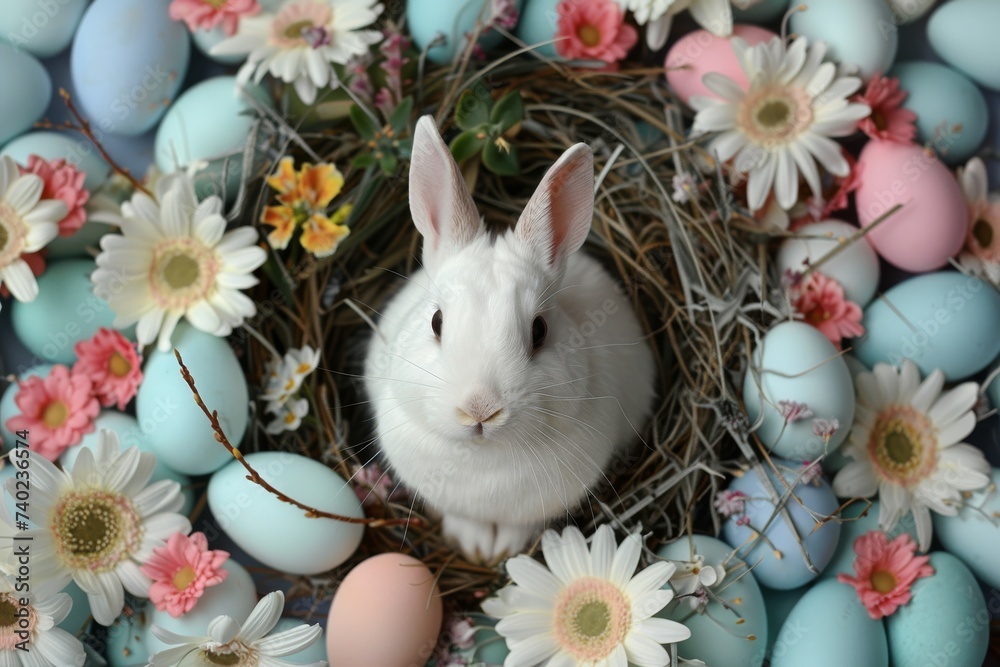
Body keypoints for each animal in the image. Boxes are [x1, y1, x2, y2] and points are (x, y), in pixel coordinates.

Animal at [363, 115, 656, 562]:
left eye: (540, 330)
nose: (480, 409)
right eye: (436, 322)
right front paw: (473, 546)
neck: (484, 459)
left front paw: (503, 551)